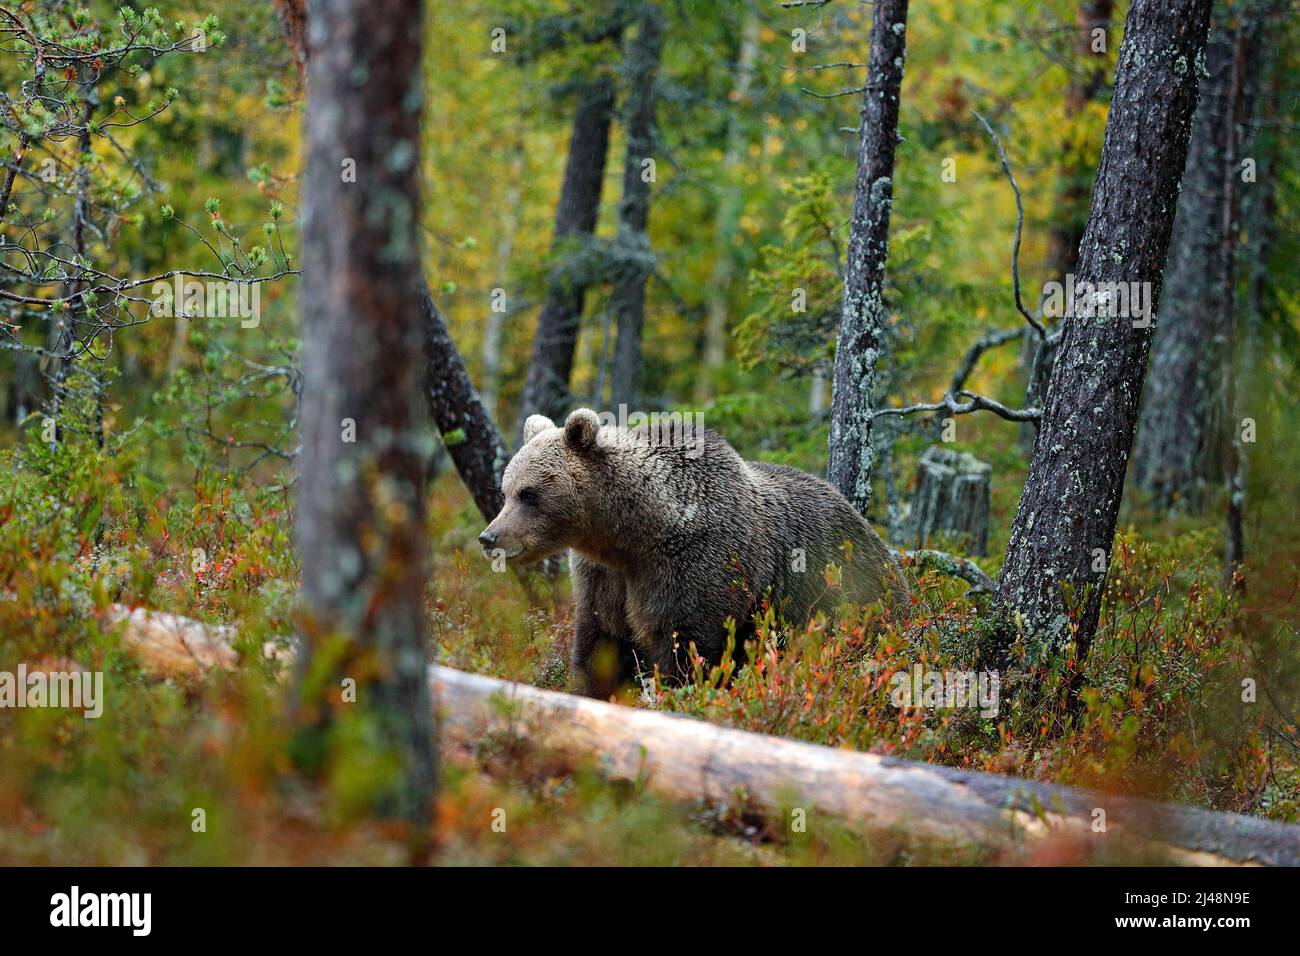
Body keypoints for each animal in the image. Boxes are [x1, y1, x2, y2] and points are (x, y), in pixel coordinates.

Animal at [478, 408, 908, 697]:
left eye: (529, 493)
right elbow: (601, 639)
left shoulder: (693, 565)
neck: (633, 533)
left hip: (851, 597)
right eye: (506, 490)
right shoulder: (604, 576)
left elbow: (685, 647)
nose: (489, 537)